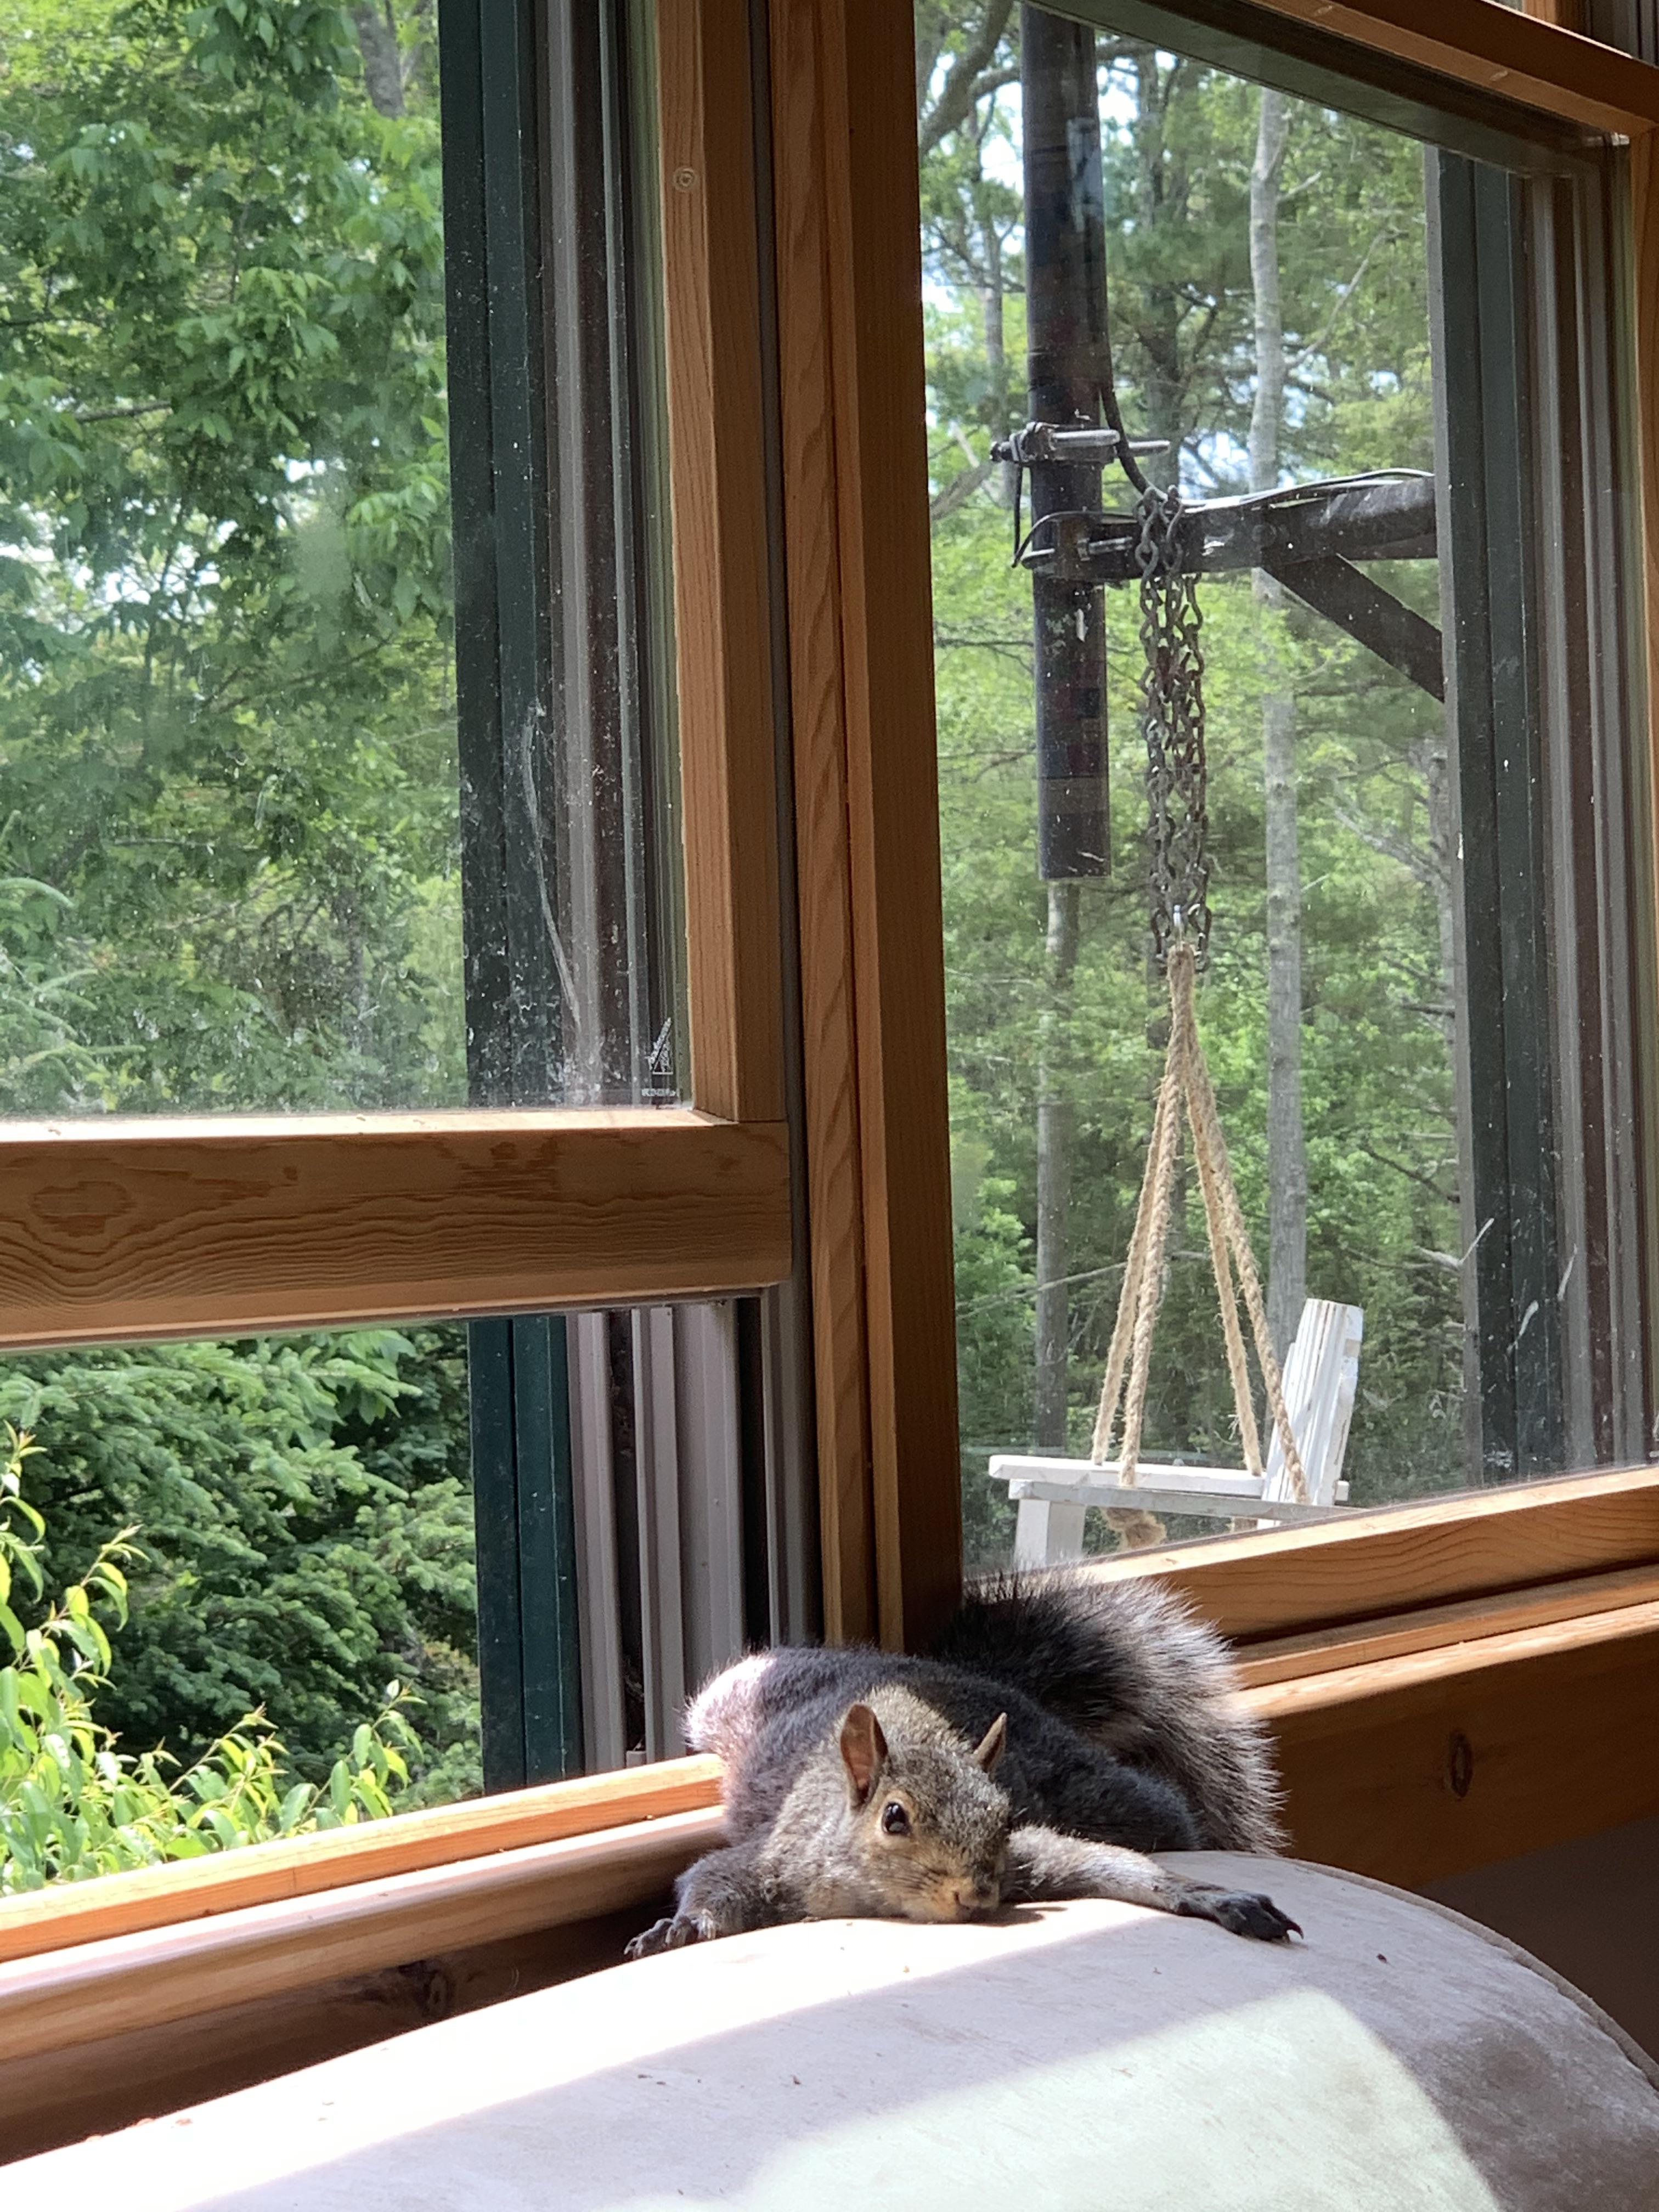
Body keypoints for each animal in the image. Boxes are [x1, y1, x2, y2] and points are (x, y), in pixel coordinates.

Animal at [626, 1570, 1299, 1959]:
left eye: (1005, 1819)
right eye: (893, 1818)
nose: (976, 1895)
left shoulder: (1023, 1860)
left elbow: (1110, 1866)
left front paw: (1209, 1897)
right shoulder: (781, 1858)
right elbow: (712, 1877)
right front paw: (683, 1928)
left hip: (1091, 1790)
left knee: (1163, 1816)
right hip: (727, 1703)